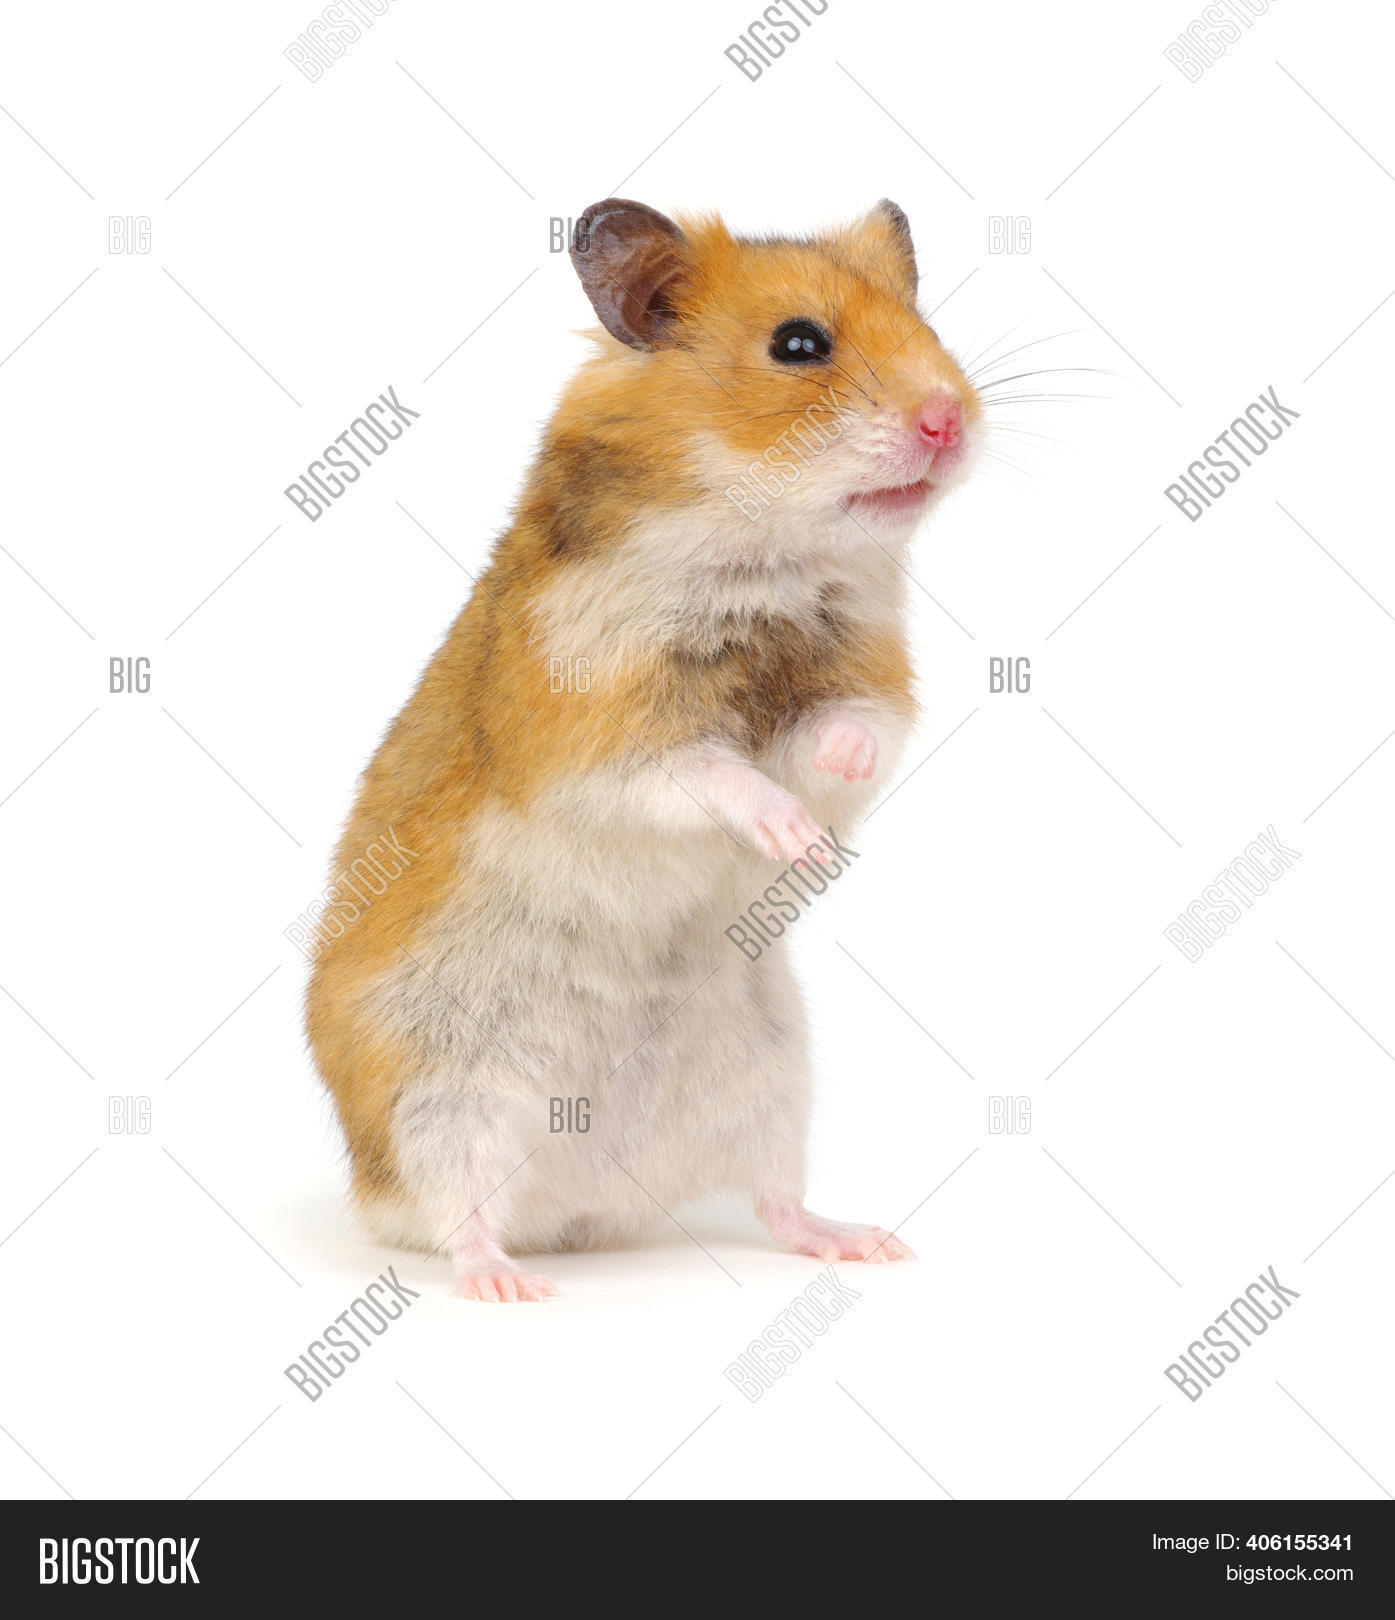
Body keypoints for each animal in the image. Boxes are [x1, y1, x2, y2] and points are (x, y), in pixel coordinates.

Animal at [306, 197, 981, 1300]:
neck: (764, 556)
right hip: (445, 1099)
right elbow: (713, 774)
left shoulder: (868, 676)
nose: (950, 421)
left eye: (930, 328)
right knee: (458, 1211)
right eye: (800, 344)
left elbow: (850, 732)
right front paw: (796, 839)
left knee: (777, 1200)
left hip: (772, 1083)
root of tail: (582, 1210)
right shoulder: (605, 741)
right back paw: (508, 1286)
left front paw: (827, 819)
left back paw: (863, 1242)